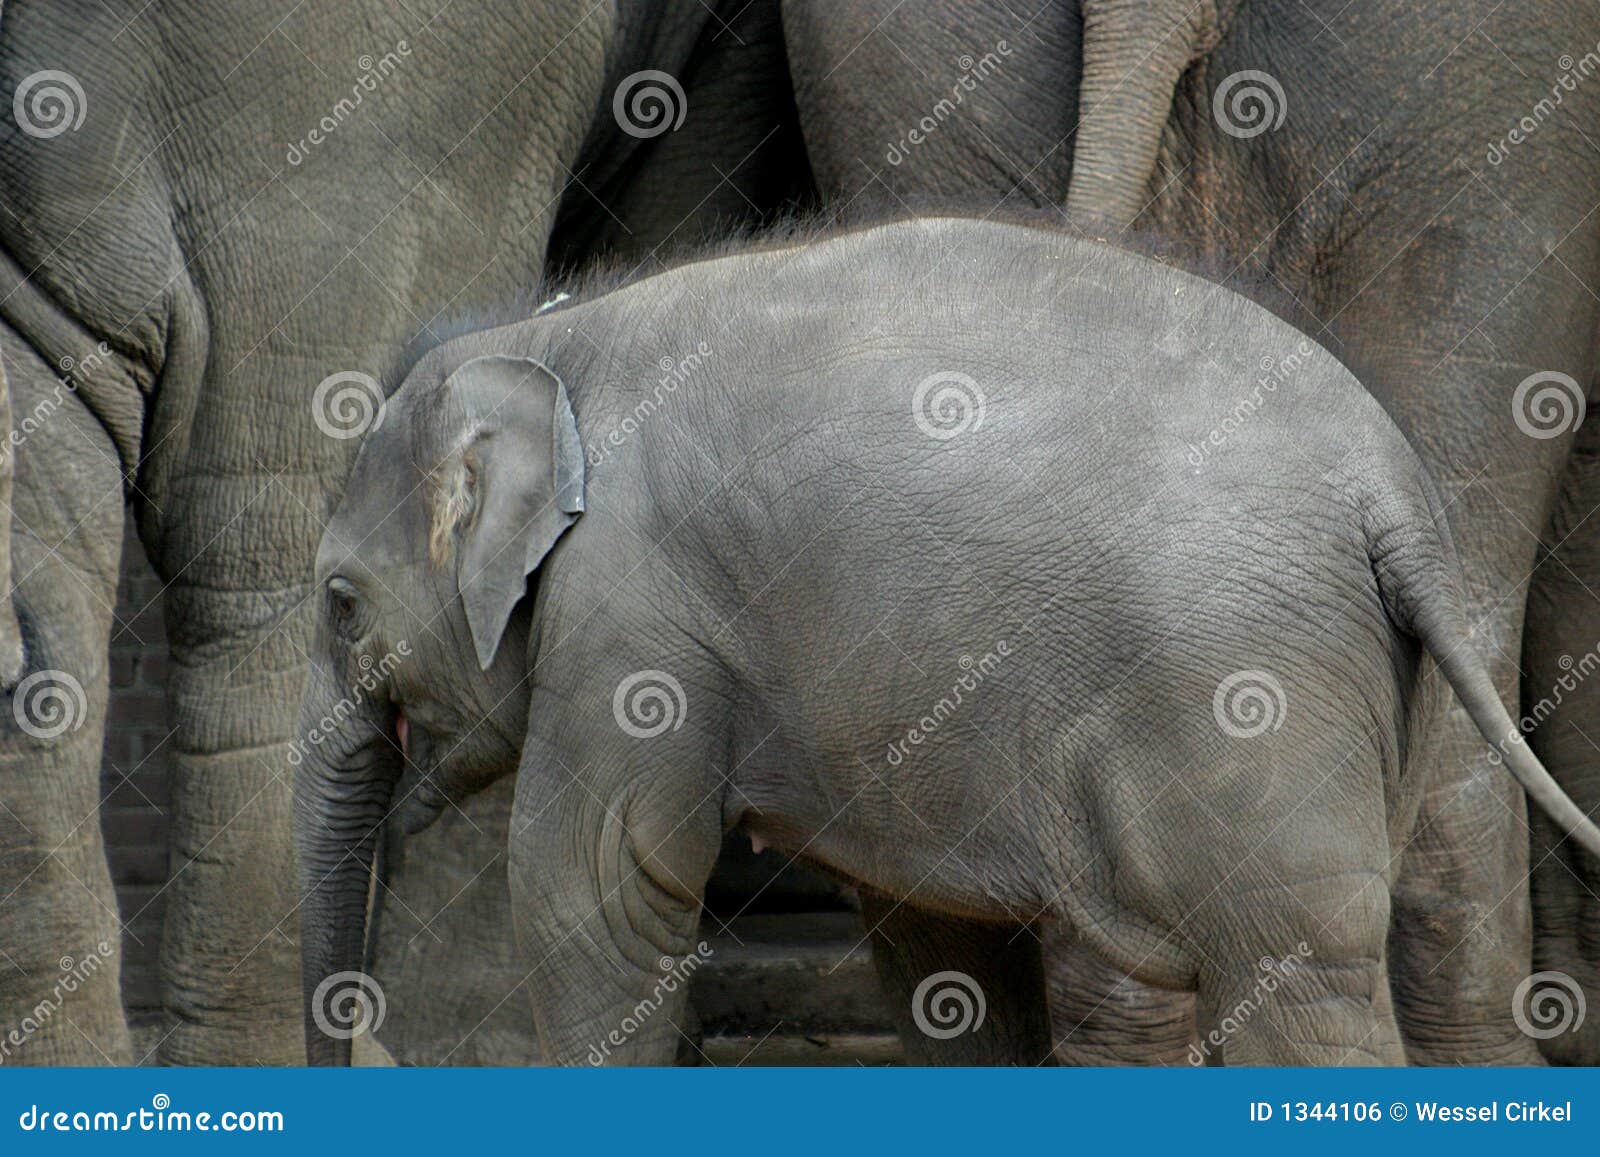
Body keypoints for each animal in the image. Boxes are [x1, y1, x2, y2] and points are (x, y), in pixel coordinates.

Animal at [292, 216, 1600, 1066]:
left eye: (340, 602)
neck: (558, 339)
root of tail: (1387, 493)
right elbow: (937, 948)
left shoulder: (629, 611)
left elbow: (600, 887)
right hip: (1387, 699)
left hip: (1253, 691)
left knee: (1295, 974)